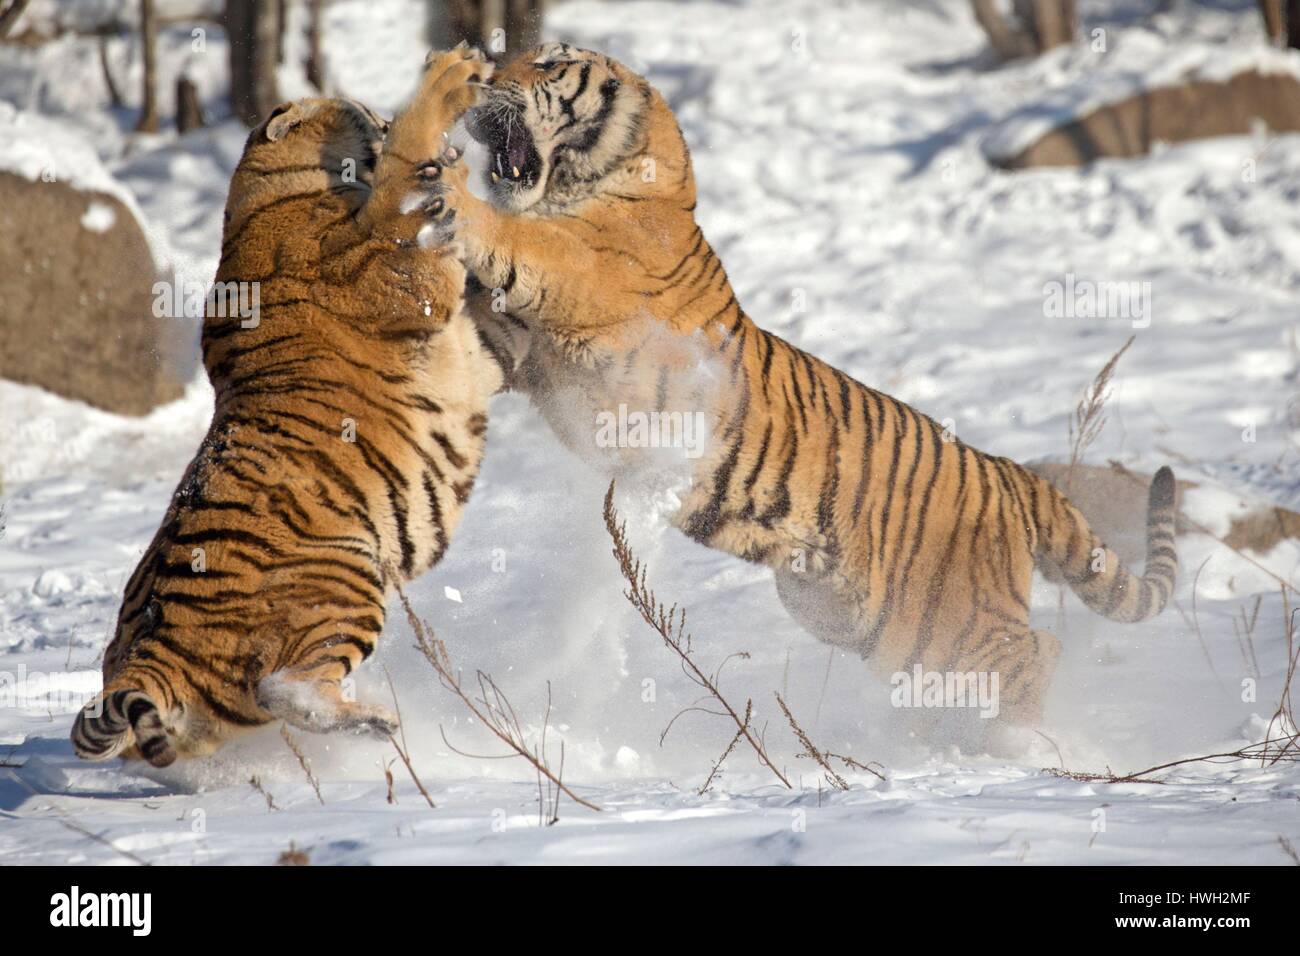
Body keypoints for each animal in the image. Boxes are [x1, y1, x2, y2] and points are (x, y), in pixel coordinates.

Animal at [70, 46, 505, 768]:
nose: (369, 108)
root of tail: (144, 657)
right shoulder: (391, 268)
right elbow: (403, 184)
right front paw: (448, 82)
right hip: (349, 571)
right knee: (284, 687)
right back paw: (376, 721)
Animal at [428, 41, 1179, 748]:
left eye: (548, 64)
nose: (482, 78)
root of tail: (1005, 471)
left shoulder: (570, 270)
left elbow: (507, 233)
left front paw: (437, 182)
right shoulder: (513, 342)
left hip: (948, 621)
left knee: (1035, 650)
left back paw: (1022, 746)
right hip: (857, 618)